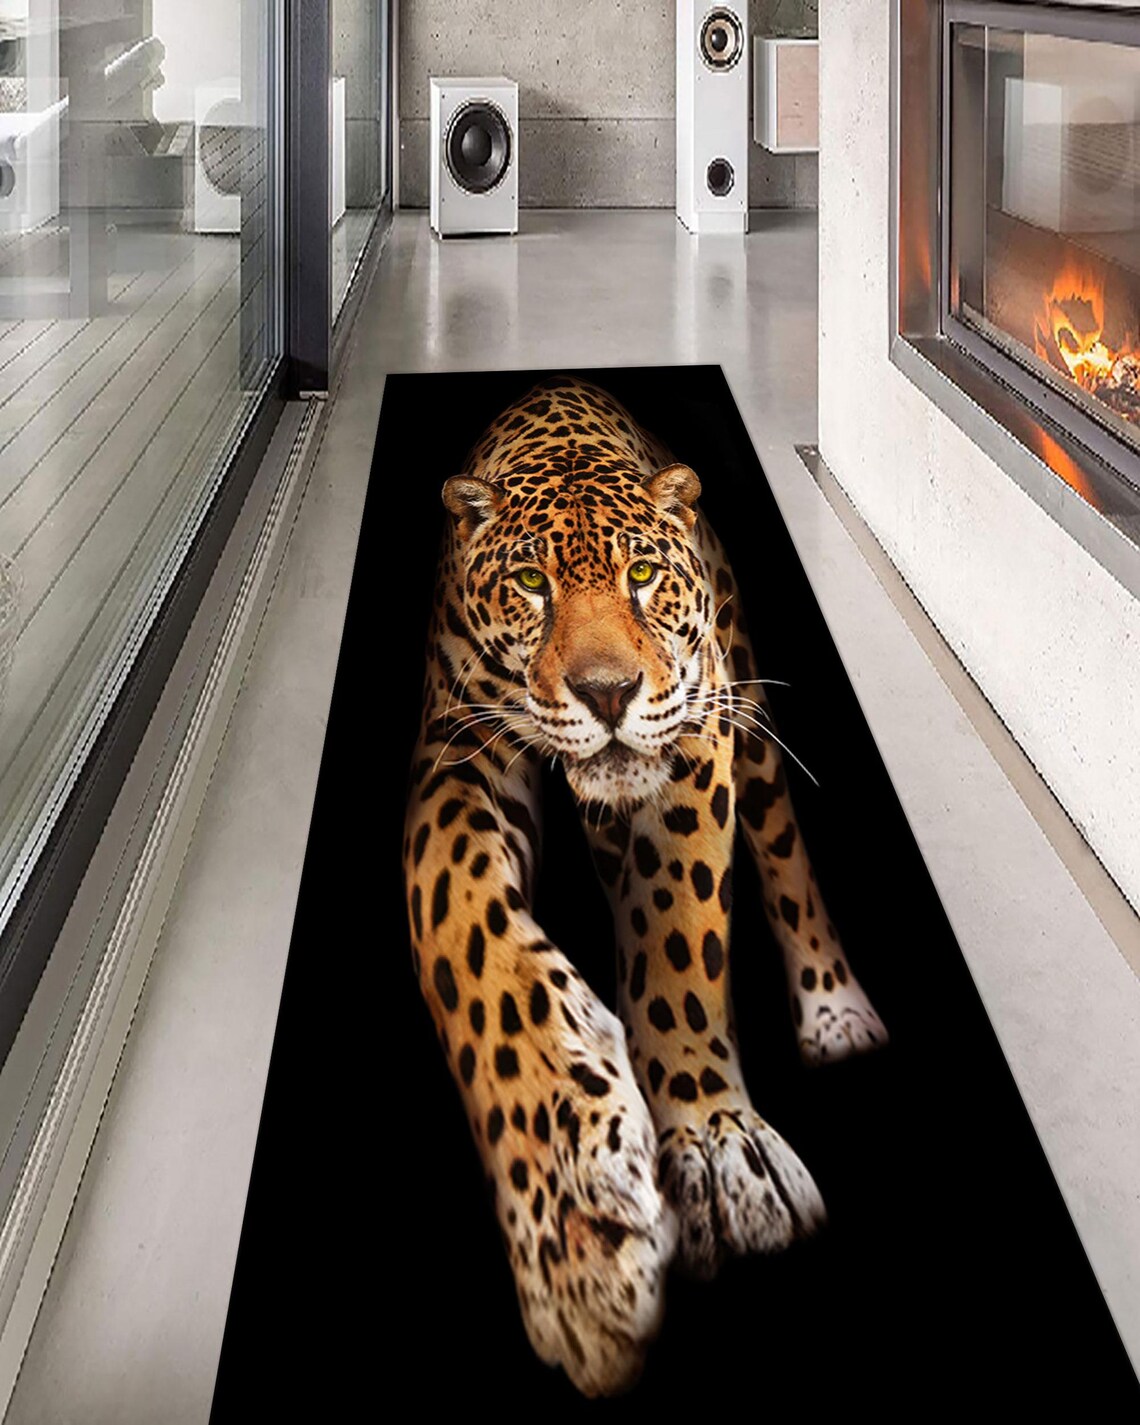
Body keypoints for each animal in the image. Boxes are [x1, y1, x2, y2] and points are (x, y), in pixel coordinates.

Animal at [403, 375, 887, 1397]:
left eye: (641, 577)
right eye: (532, 584)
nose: (609, 692)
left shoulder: (697, 732)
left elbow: (677, 932)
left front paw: (712, 1141)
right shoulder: (457, 751)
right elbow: (466, 925)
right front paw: (572, 1226)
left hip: (752, 717)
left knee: (786, 858)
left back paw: (835, 1012)